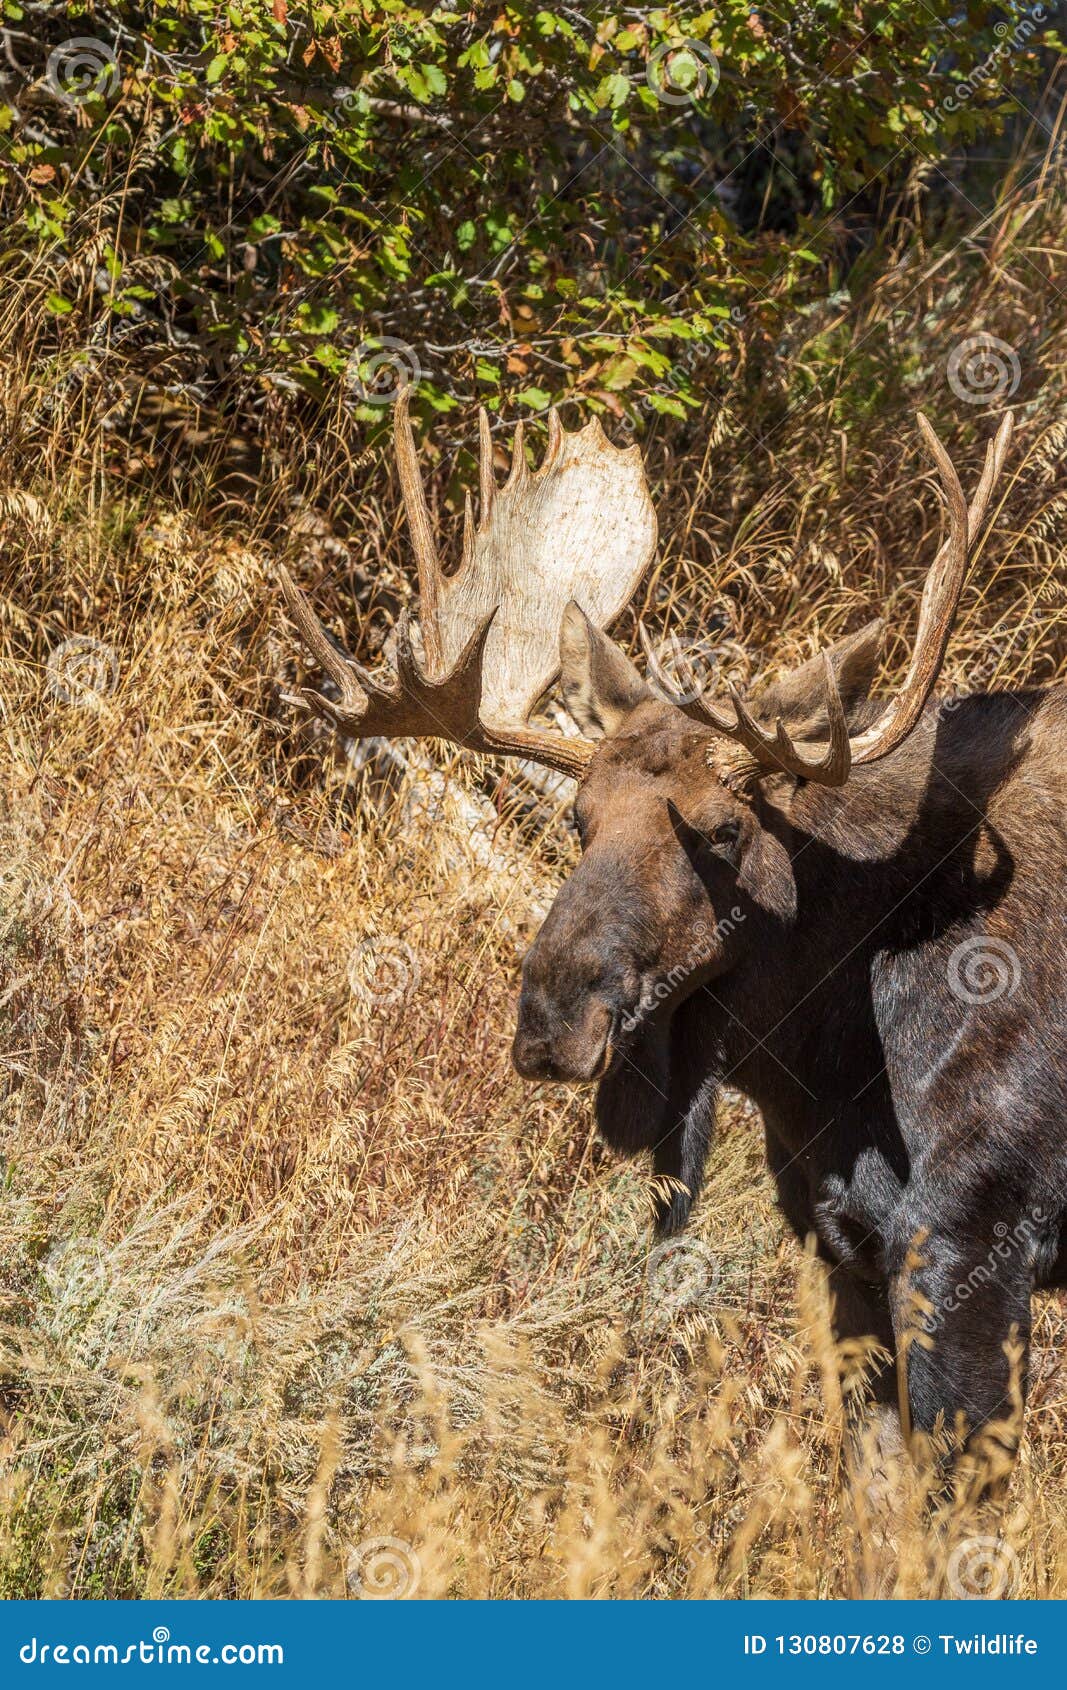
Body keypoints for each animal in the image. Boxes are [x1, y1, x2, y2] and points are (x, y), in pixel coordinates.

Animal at [280, 394, 1067, 1472]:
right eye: (578, 820)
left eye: (724, 830)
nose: (550, 1021)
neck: (830, 1058)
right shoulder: (843, 1249)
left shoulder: (972, 1244)